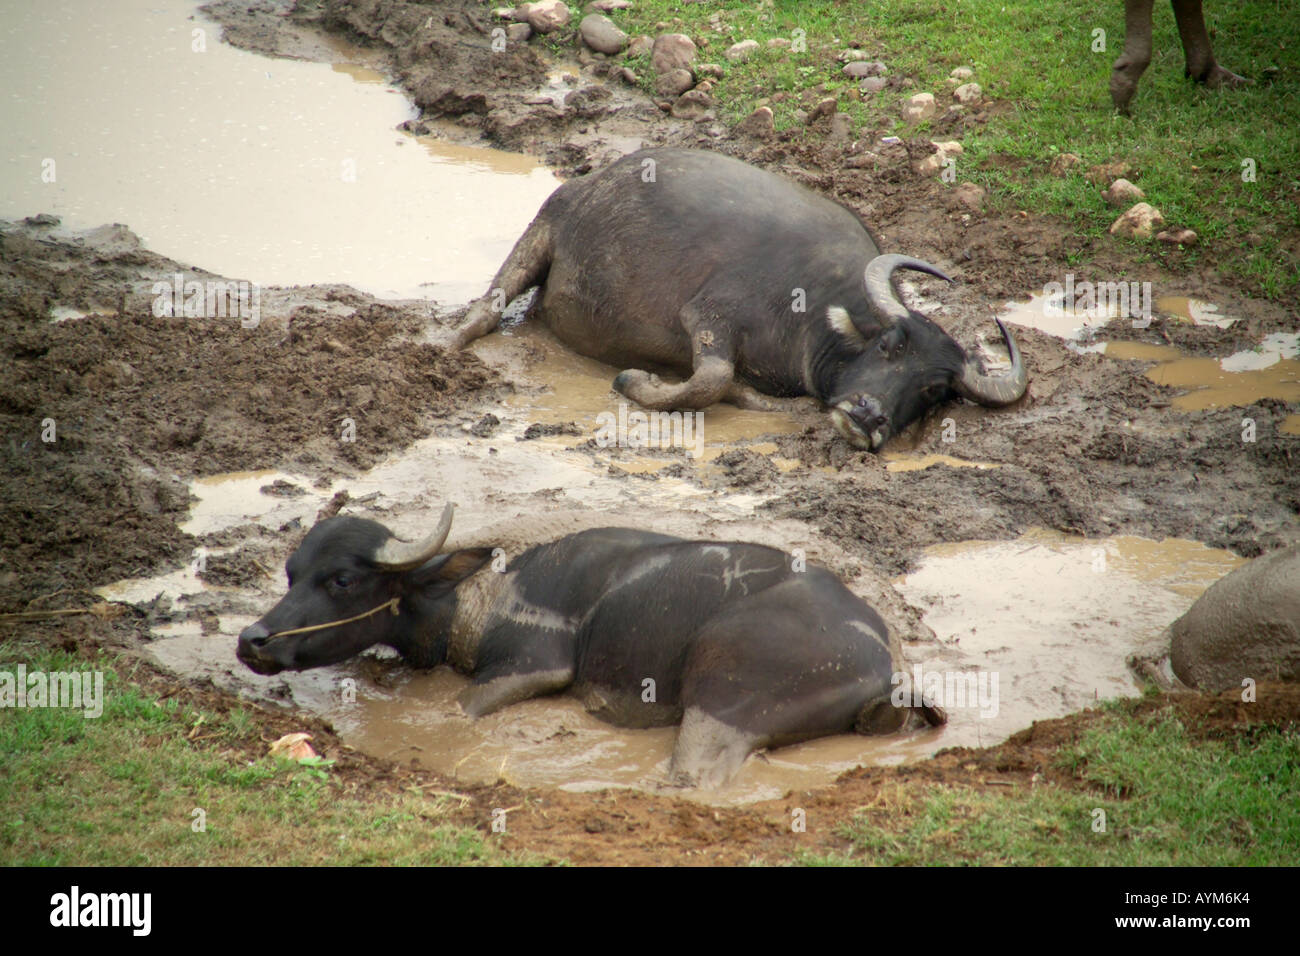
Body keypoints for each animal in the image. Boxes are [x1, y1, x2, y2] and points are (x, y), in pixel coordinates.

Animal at [451, 147, 1026, 451]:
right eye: (888, 345)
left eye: (932, 390)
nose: (868, 414)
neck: (813, 306)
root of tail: (602, 173)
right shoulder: (709, 316)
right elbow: (710, 379)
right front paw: (635, 379)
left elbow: (724, 384)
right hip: (543, 227)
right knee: (488, 308)